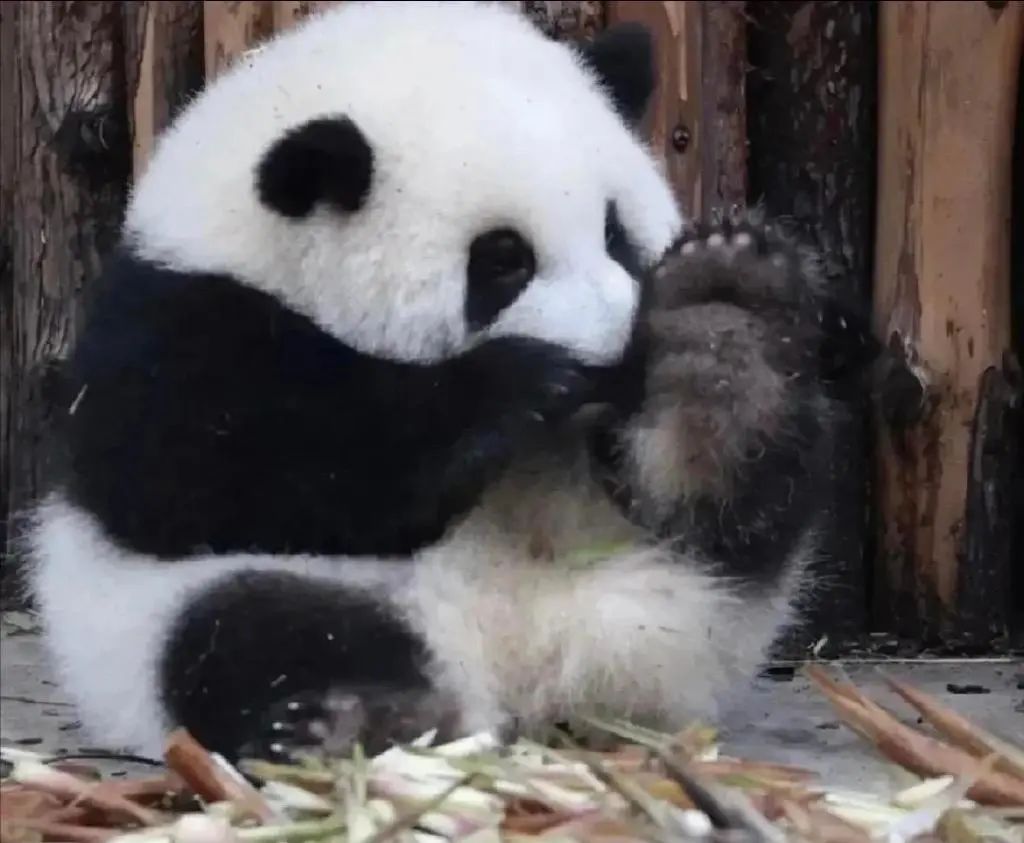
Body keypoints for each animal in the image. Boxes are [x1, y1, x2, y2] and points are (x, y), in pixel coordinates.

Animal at [24, 0, 874, 763]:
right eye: (502, 259)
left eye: (616, 232)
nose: (615, 357)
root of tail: (540, 664)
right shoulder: (173, 320)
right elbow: (204, 468)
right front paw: (520, 384)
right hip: (204, 610)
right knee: (246, 630)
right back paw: (345, 721)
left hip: (685, 577)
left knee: (744, 511)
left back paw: (723, 343)